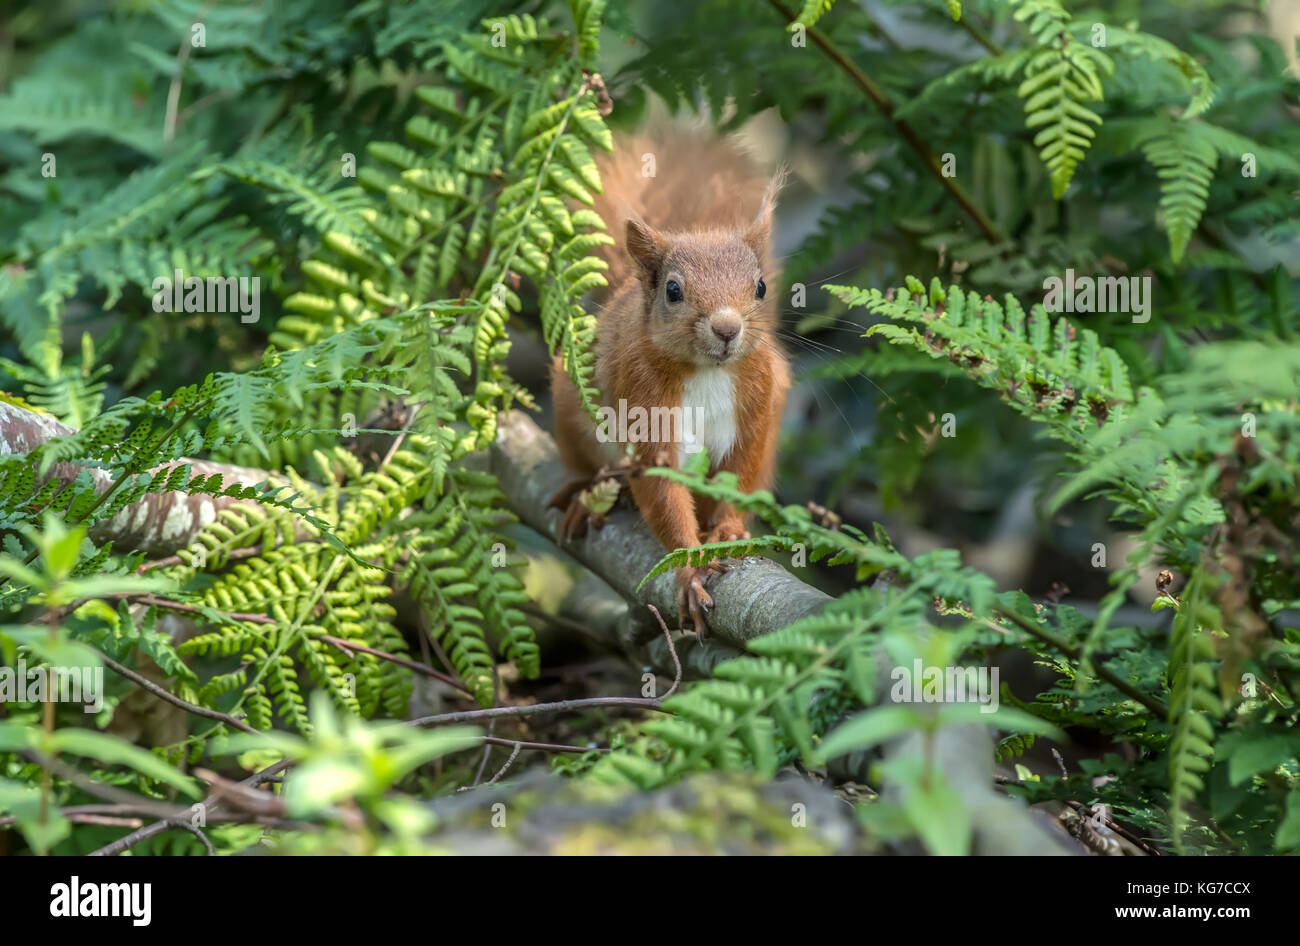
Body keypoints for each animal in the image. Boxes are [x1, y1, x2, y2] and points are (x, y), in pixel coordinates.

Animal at [549, 128, 790, 634]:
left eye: (760, 286)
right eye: (673, 290)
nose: (727, 328)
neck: (708, 371)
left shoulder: (757, 403)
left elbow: (741, 469)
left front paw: (729, 529)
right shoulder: (644, 405)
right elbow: (660, 489)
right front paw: (689, 571)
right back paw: (591, 491)